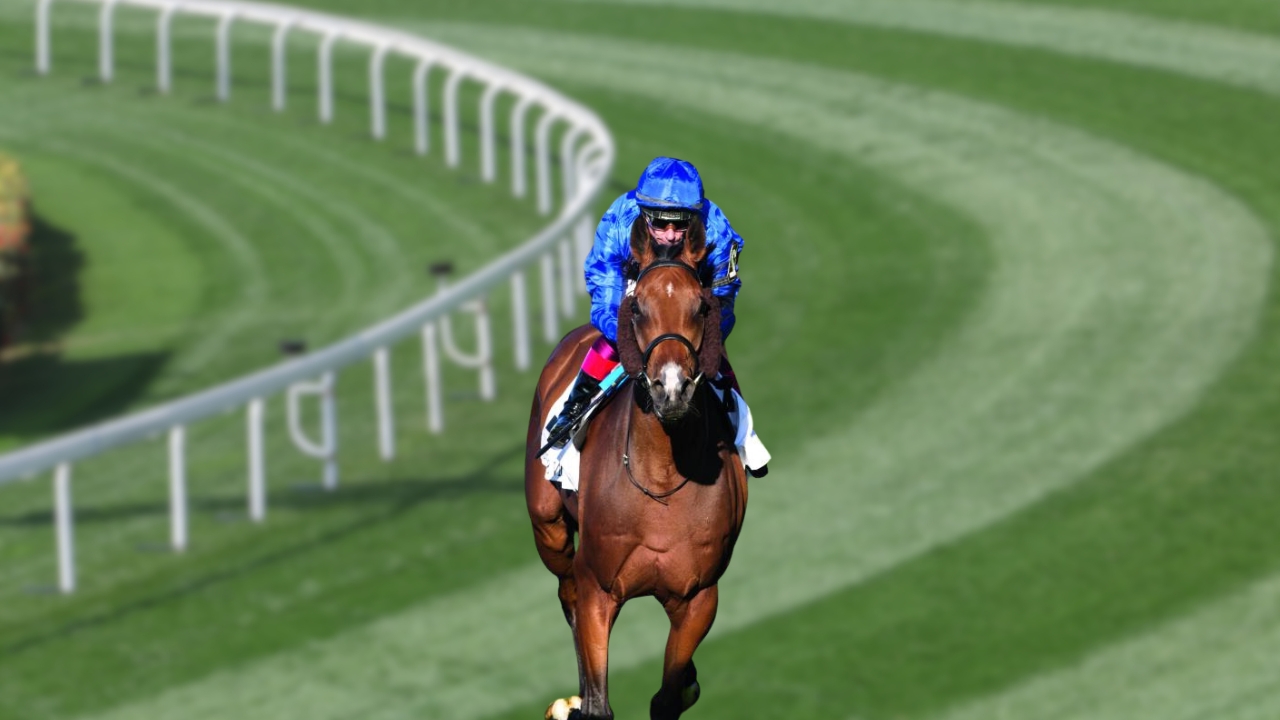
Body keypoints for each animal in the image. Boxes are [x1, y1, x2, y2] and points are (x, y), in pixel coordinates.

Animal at [524, 230, 749, 720]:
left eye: (700, 307)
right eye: (639, 308)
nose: (672, 388)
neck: (661, 480)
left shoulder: (698, 596)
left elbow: (668, 696)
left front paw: (685, 683)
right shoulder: (598, 587)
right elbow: (599, 703)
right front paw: (582, 702)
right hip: (548, 526)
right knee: (565, 589)